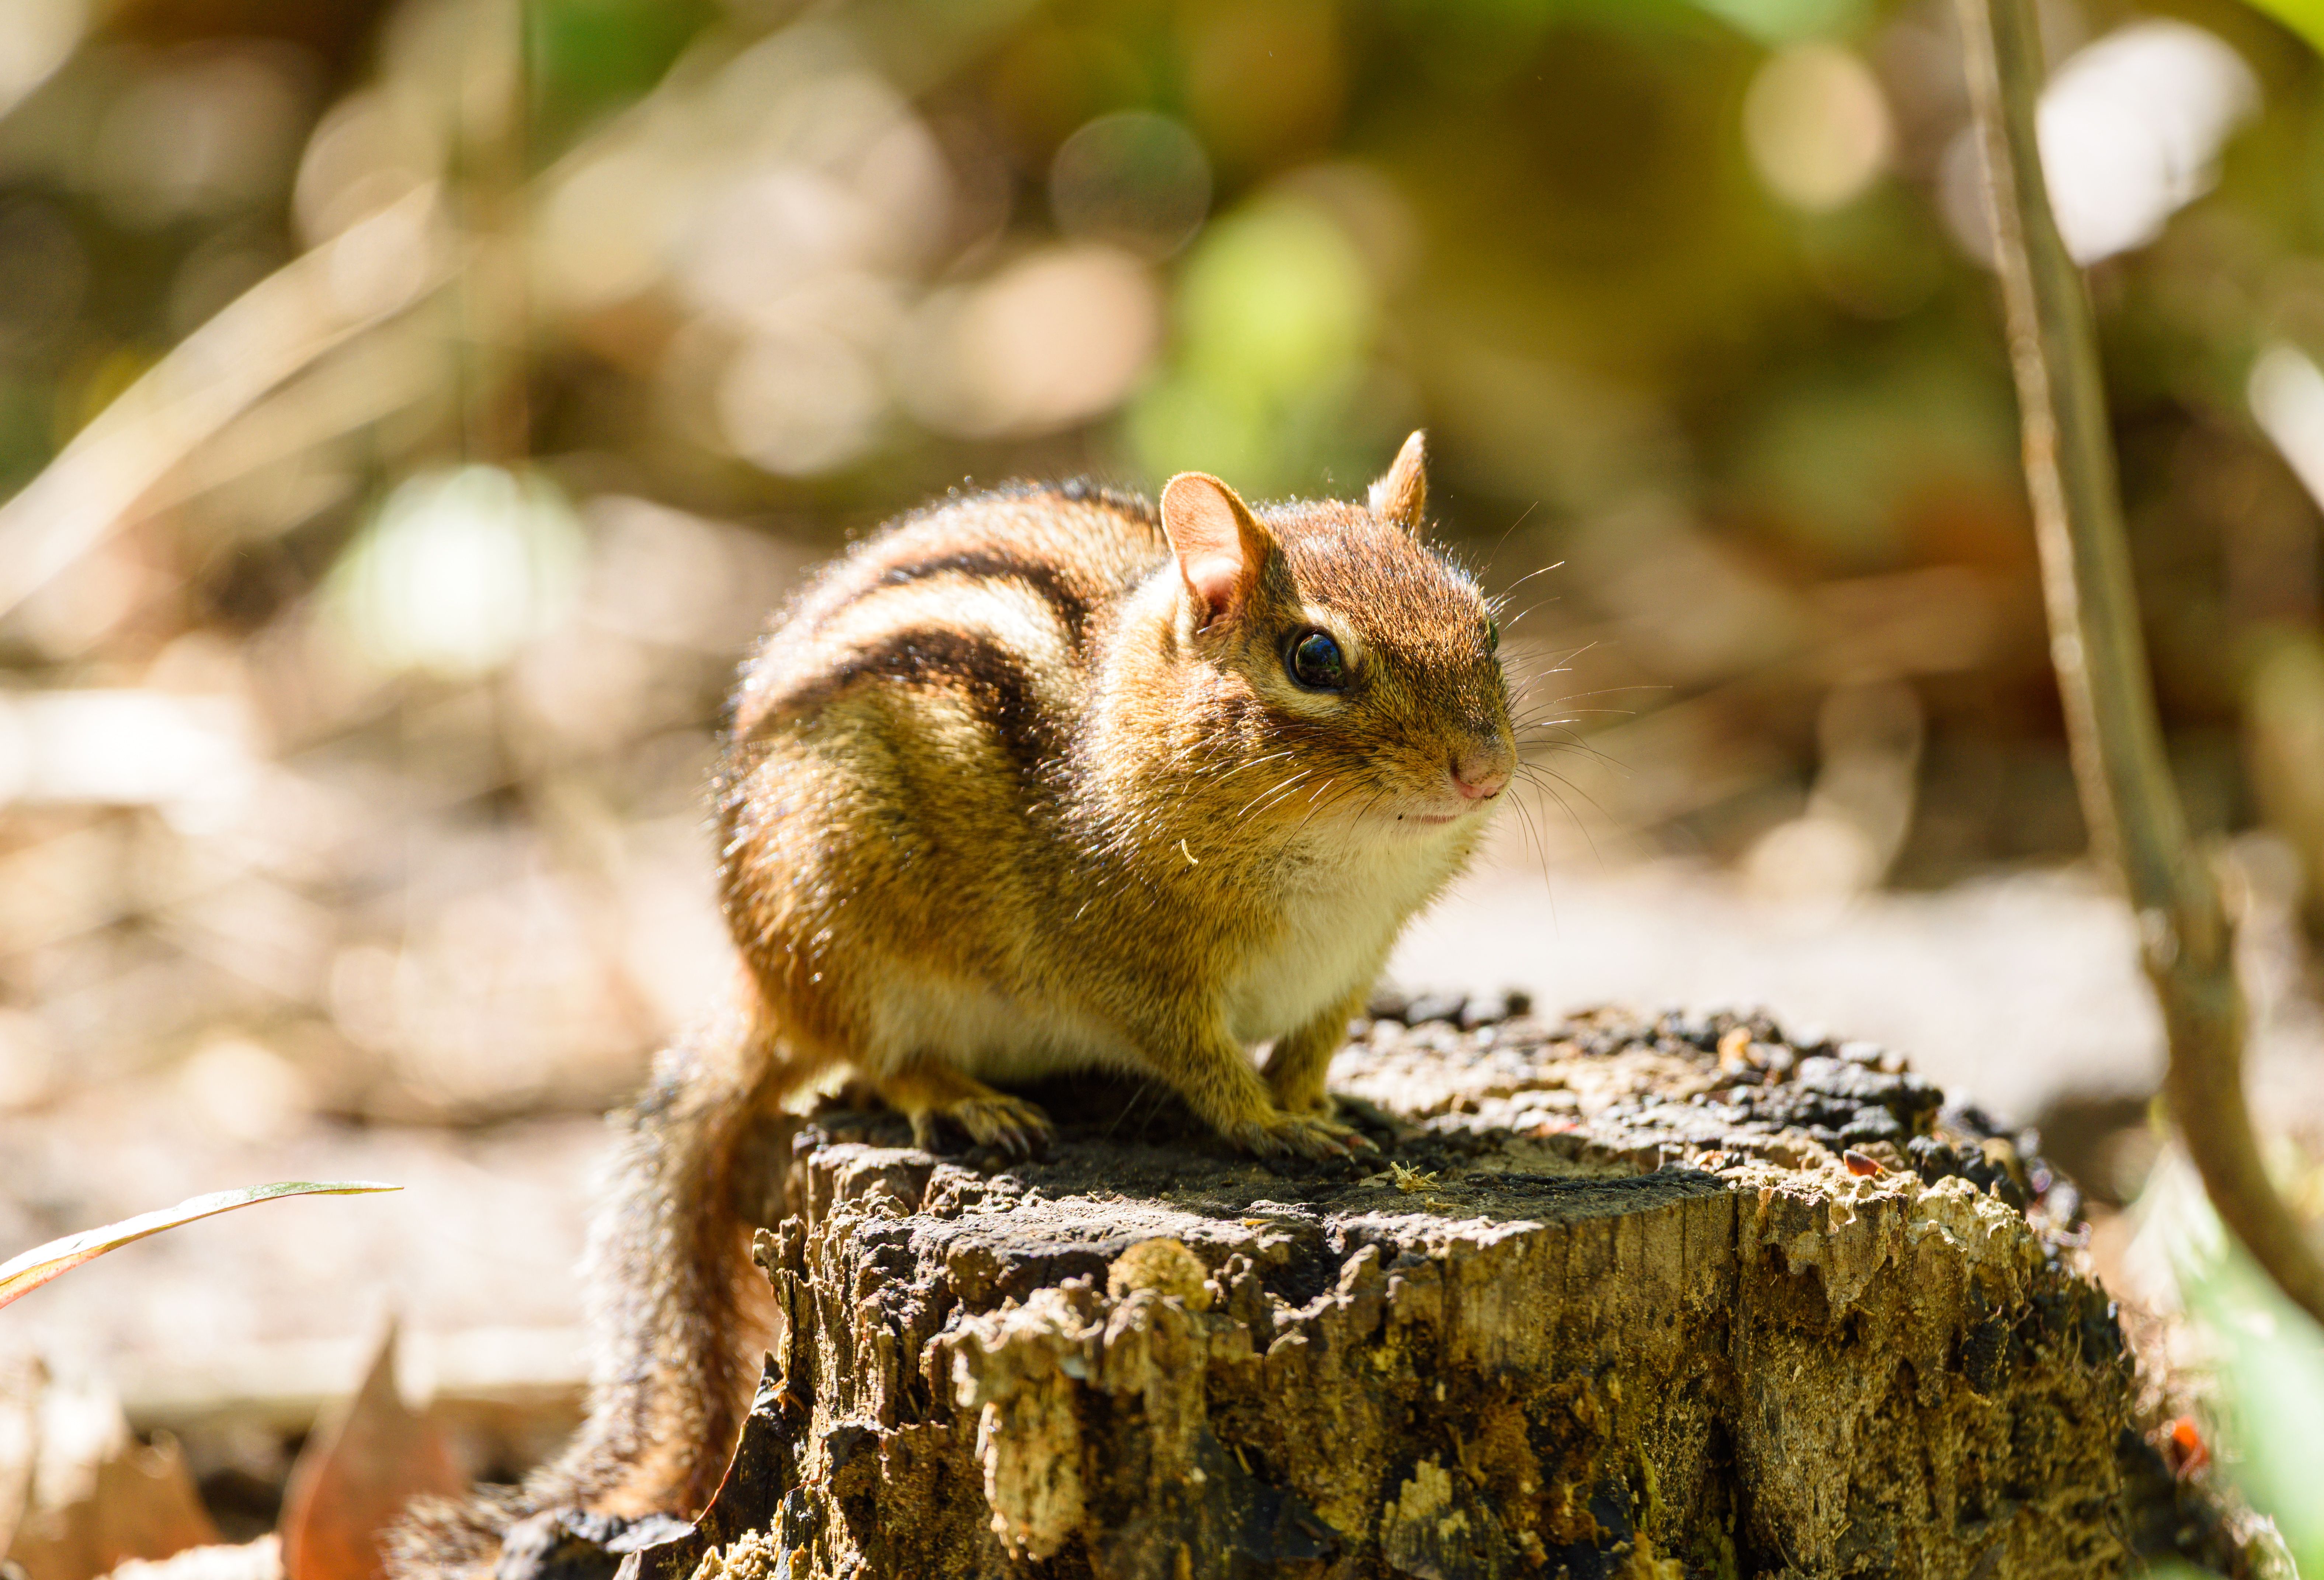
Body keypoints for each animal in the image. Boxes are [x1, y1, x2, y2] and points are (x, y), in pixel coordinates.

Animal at [394, 432, 1518, 1574]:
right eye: (1314, 659)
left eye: (1486, 627)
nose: (1482, 771)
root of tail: (764, 982)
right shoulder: (1124, 966)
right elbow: (1200, 1064)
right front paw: (1268, 1127)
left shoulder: (1351, 968)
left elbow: (1309, 1049)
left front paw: (1324, 1107)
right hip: (845, 934)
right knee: (878, 1058)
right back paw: (966, 1100)